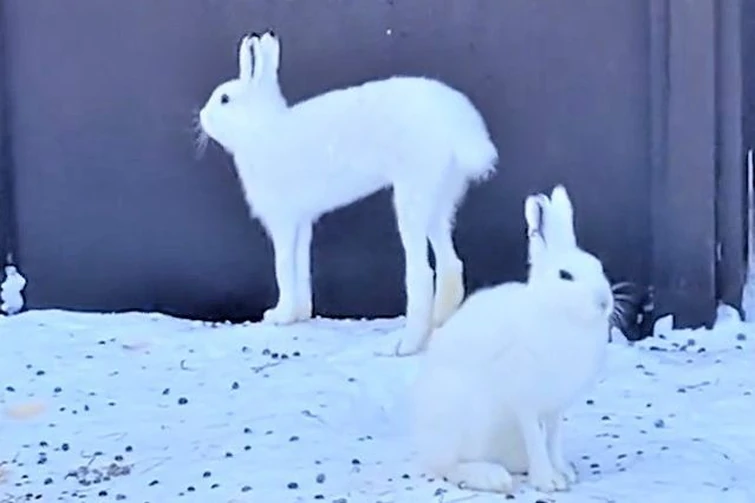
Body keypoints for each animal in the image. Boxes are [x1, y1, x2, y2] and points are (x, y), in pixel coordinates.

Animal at [198, 31, 498, 356]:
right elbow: (301, 264)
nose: (202, 116)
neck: (261, 129)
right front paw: (299, 314)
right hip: (439, 197)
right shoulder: (303, 221)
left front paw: (279, 316)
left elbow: (284, 266)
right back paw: (436, 325)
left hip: (414, 192)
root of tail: (463, 131)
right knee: (450, 264)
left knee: (421, 273)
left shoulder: (284, 220)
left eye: (225, 99)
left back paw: (403, 345)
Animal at [410, 185, 615, 493]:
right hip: (459, 421)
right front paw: (548, 481)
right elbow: (536, 439)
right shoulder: (526, 401)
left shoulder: (555, 407)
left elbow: (553, 439)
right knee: (447, 466)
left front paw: (564, 473)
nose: (604, 302)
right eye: (565, 275)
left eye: (599, 267)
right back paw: (490, 476)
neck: (556, 311)